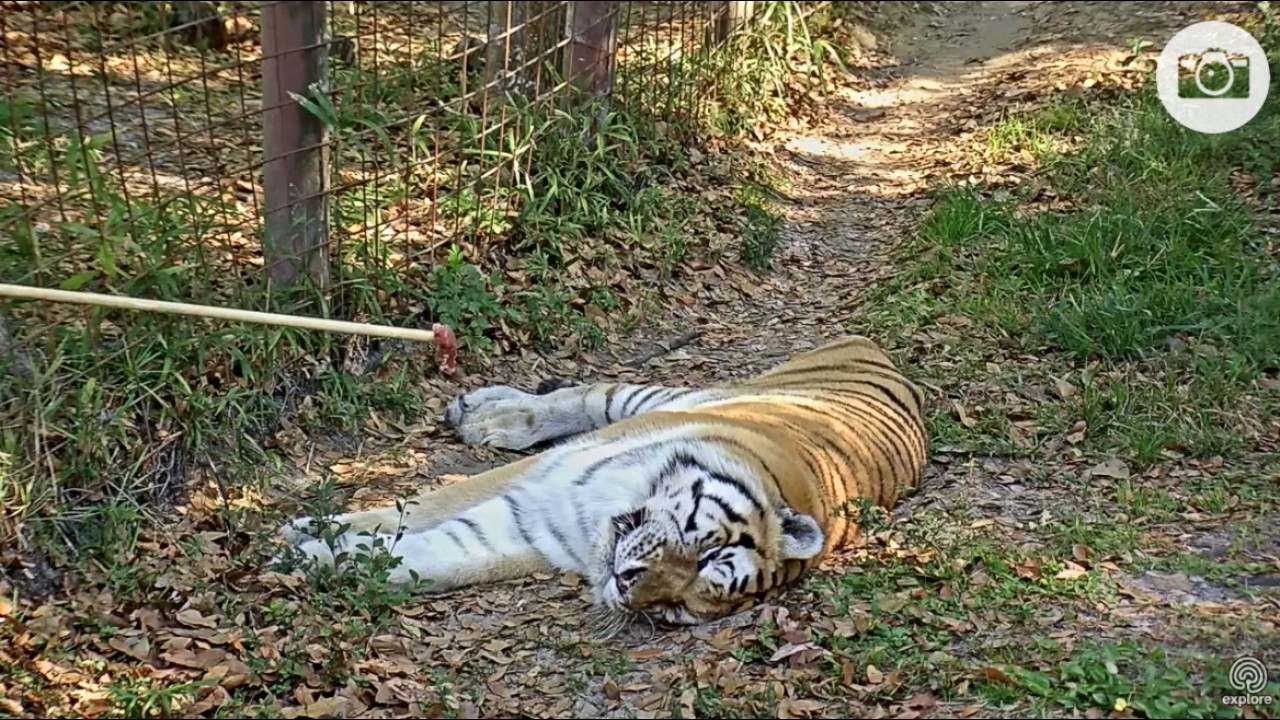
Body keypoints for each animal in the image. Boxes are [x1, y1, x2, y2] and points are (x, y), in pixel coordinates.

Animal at [275, 334, 929, 627]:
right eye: (701, 545)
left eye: (679, 607)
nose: (625, 583)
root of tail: (877, 347)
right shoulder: (542, 476)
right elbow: (423, 503)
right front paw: (306, 530)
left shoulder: (526, 531)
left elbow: (435, 555)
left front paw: (318, 559)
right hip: (653, 399)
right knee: (587, 394)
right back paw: (483, 414)